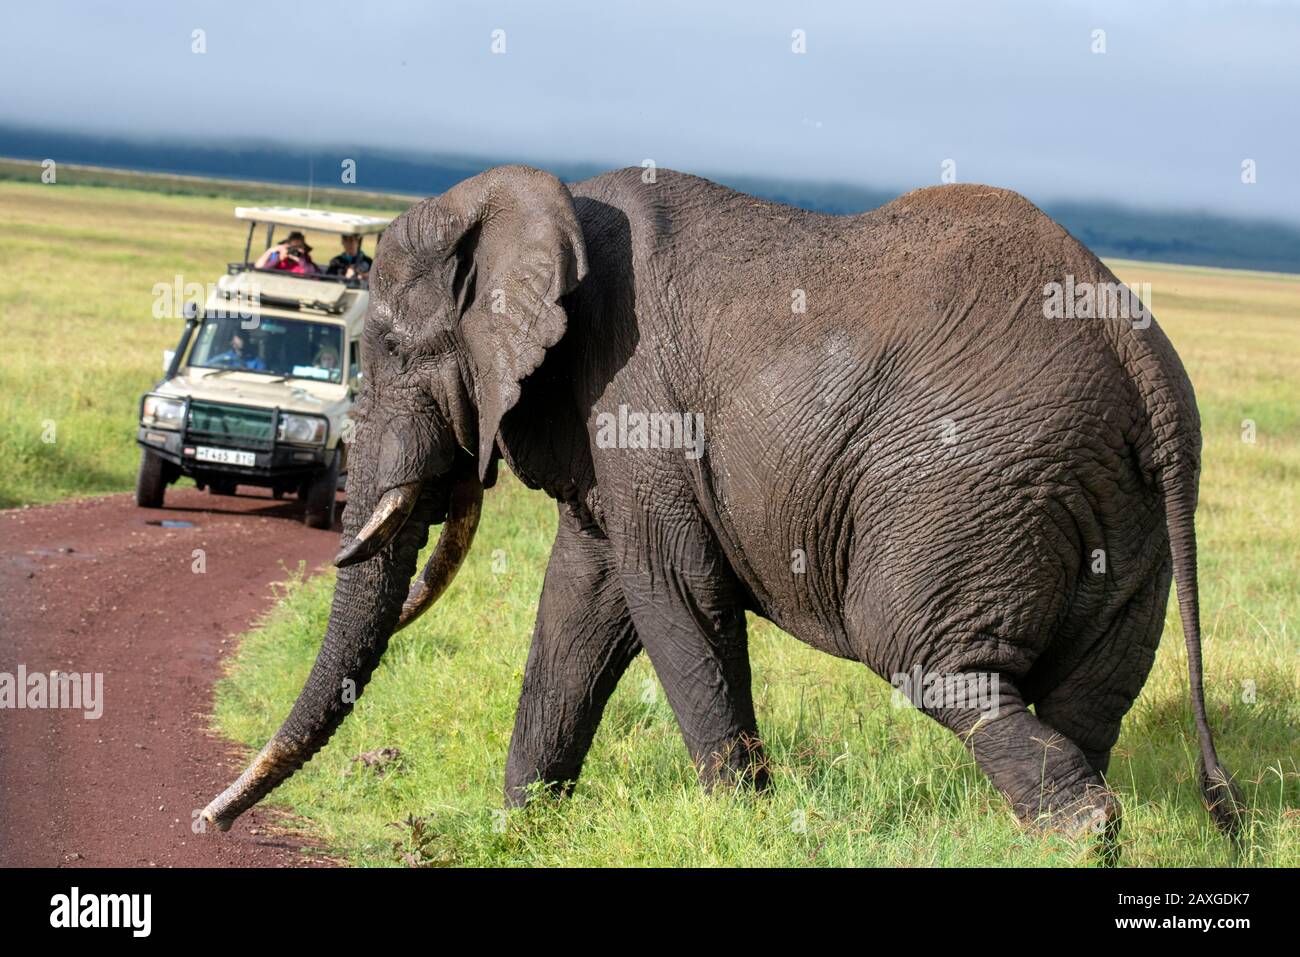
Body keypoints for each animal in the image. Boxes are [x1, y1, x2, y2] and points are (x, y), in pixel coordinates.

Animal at [202, 165, 1244, 847]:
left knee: (925, 656)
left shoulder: (635, 400)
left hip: (970, 483)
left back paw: (1081, 827)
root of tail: (1140, 354)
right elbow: (583, 598)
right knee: (1084, 697)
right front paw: (520, 828)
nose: (207, 818)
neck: (542, 204)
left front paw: (740, 826)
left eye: (382, 349)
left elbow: (672, 592)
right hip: (1125, 514)